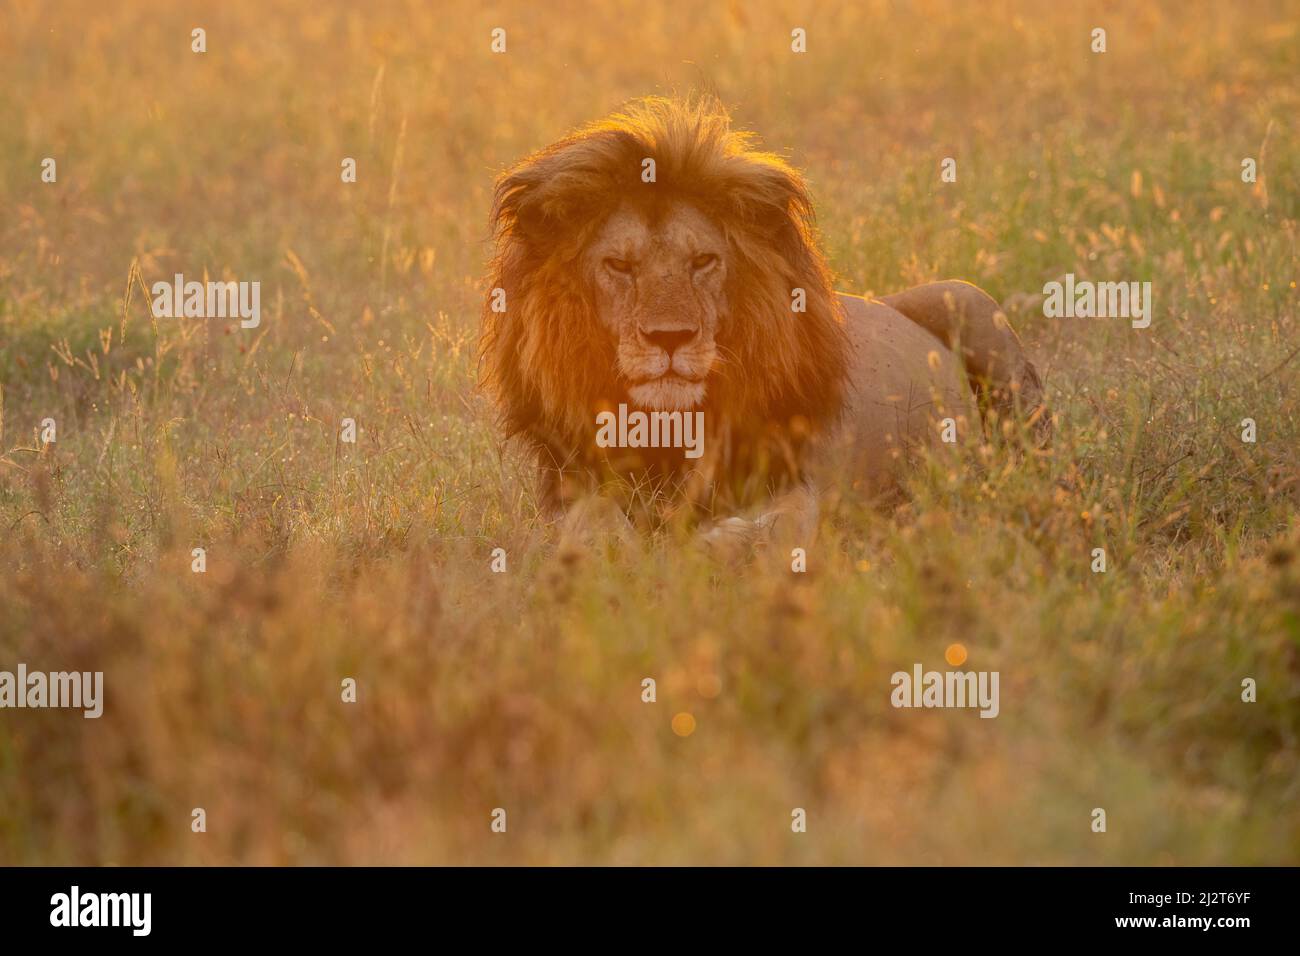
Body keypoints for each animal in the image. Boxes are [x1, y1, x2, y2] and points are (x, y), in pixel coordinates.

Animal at [480, 96, 1048, 556]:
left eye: (703, 261)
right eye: (619, 265)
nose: (670, 338)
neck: (670, 427)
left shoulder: (796, 481)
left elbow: (771, 532)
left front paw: (706, 543)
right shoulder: (573, 481)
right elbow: (595, 533)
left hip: (973, 308)